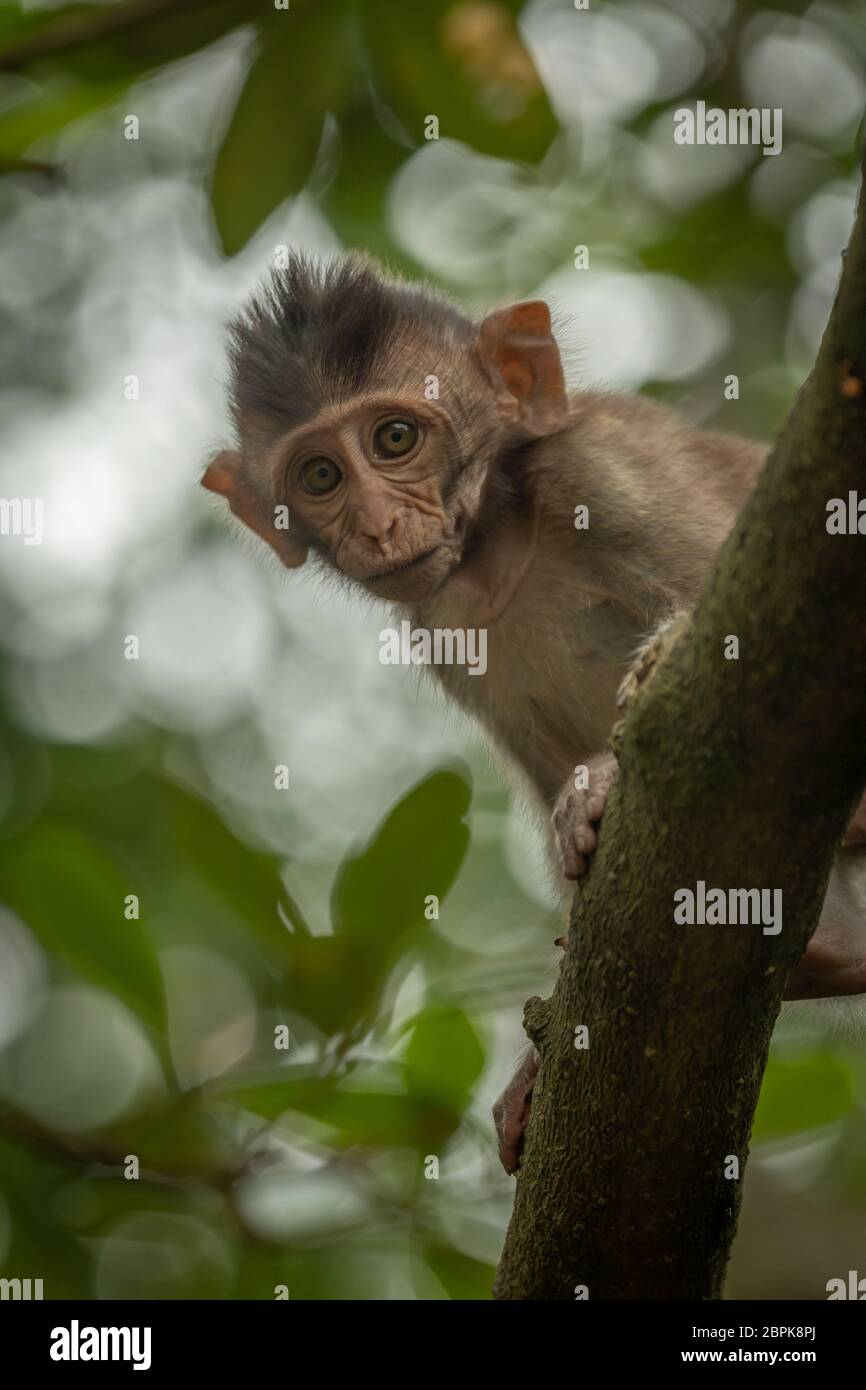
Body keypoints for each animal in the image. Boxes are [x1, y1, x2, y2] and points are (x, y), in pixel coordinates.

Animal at [202, 254, 866, 1174]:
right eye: (320, 476)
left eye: (395, 439)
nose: (378, 524)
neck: (497, 544)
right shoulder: (444, 627)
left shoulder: (607, 468)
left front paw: (603, 783)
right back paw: (837, 956)